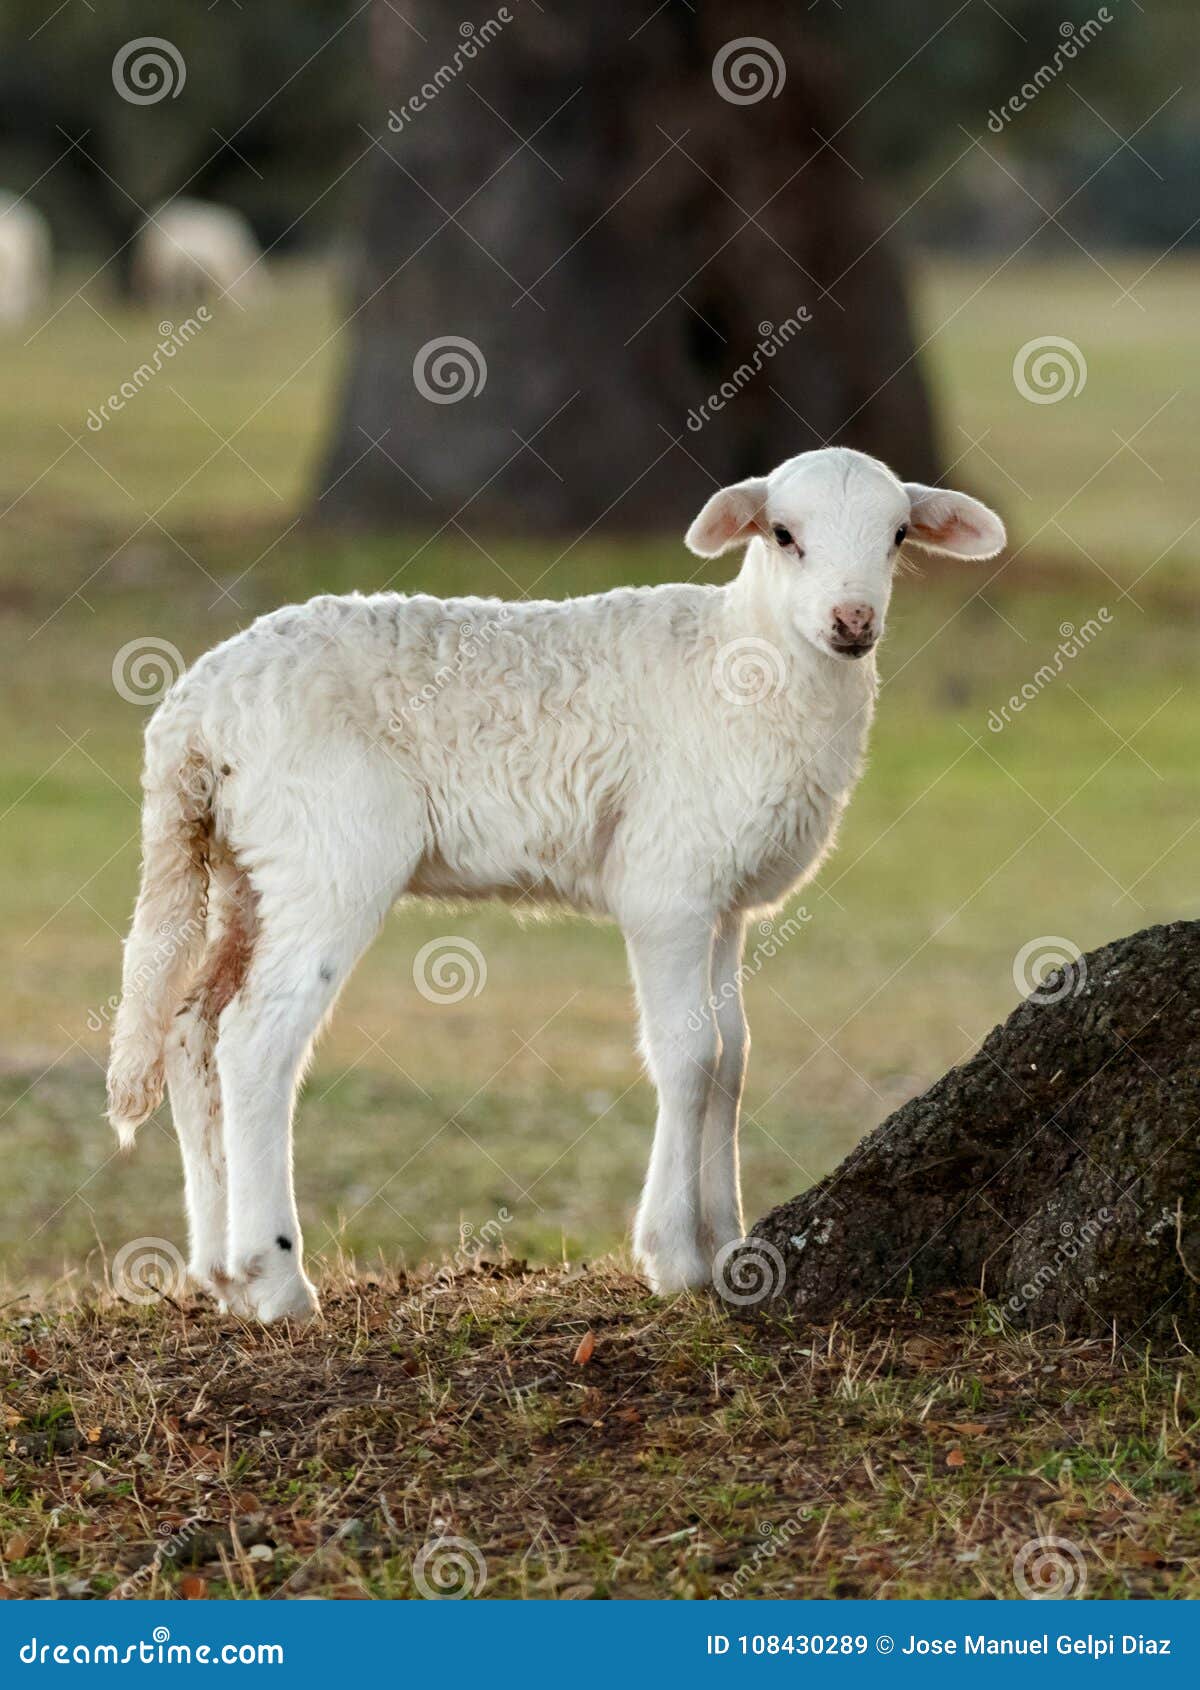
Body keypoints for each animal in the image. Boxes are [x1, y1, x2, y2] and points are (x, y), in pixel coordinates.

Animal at [106, 447, 1005, 1322]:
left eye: (897, 535)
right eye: (784, 535)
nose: (853, 623)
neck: (748, 662)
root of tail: (191, 715)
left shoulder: (723, 900)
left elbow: (733, 1057)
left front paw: (726, 1247)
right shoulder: (667, 885)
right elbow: (688, 1056)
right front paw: (676, 1260)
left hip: (244, 865)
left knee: (193, 1029)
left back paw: (222, 1274)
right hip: (328, 851)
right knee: (254, 1039)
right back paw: (278, 1281)